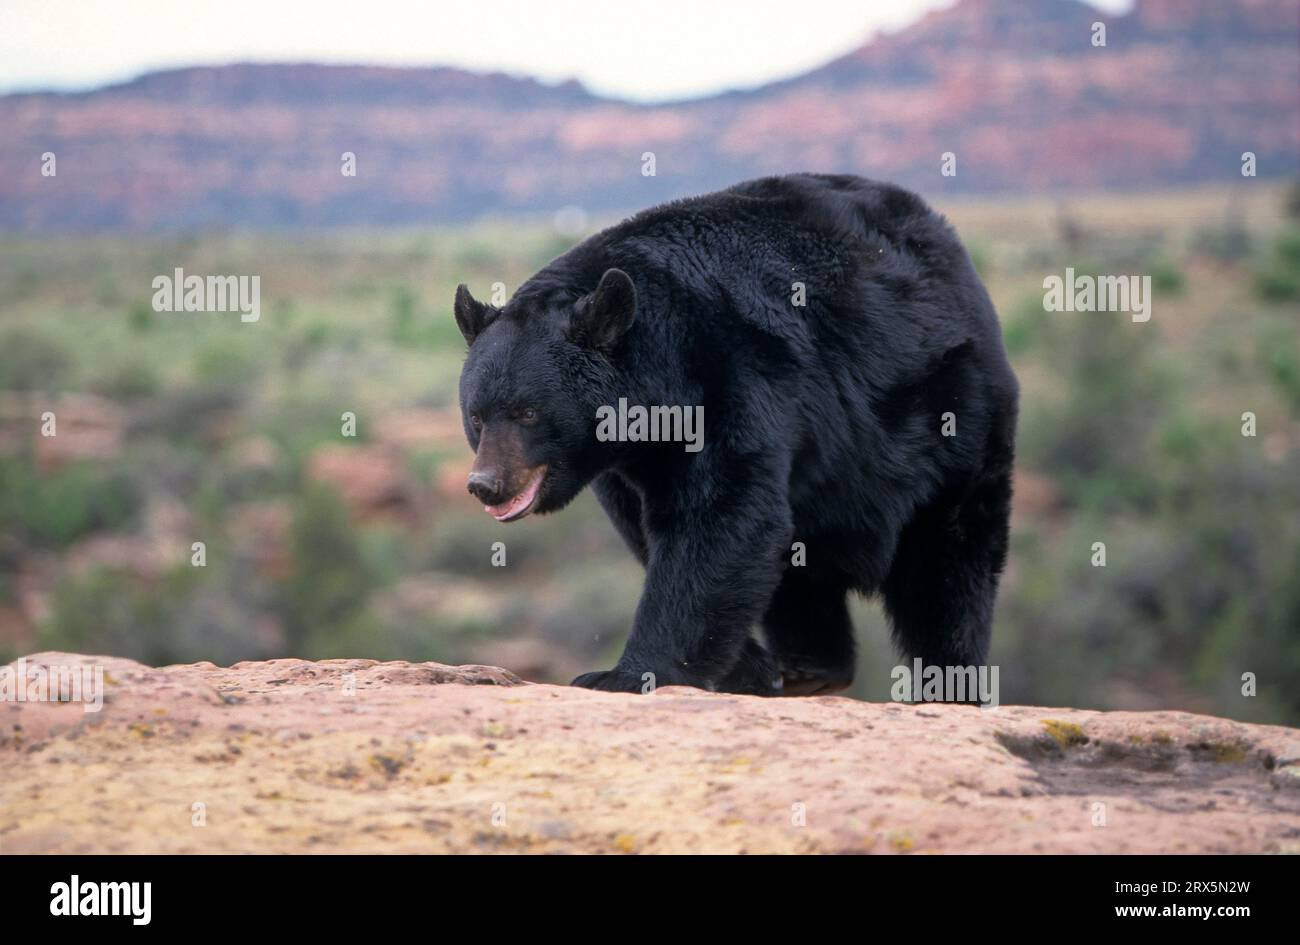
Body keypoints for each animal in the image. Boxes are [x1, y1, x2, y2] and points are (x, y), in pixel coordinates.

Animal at [453, 173, 1018, 697]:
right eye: (477, 417)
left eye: (528, 412)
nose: (486, 484)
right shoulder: (624, 462)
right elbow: (657, 529)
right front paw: (750, 668)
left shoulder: (733, 378)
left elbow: (722, 516)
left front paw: (622, 674)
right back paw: (807, 669)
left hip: (950, 414)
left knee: (949, 560)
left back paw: (947, 680)